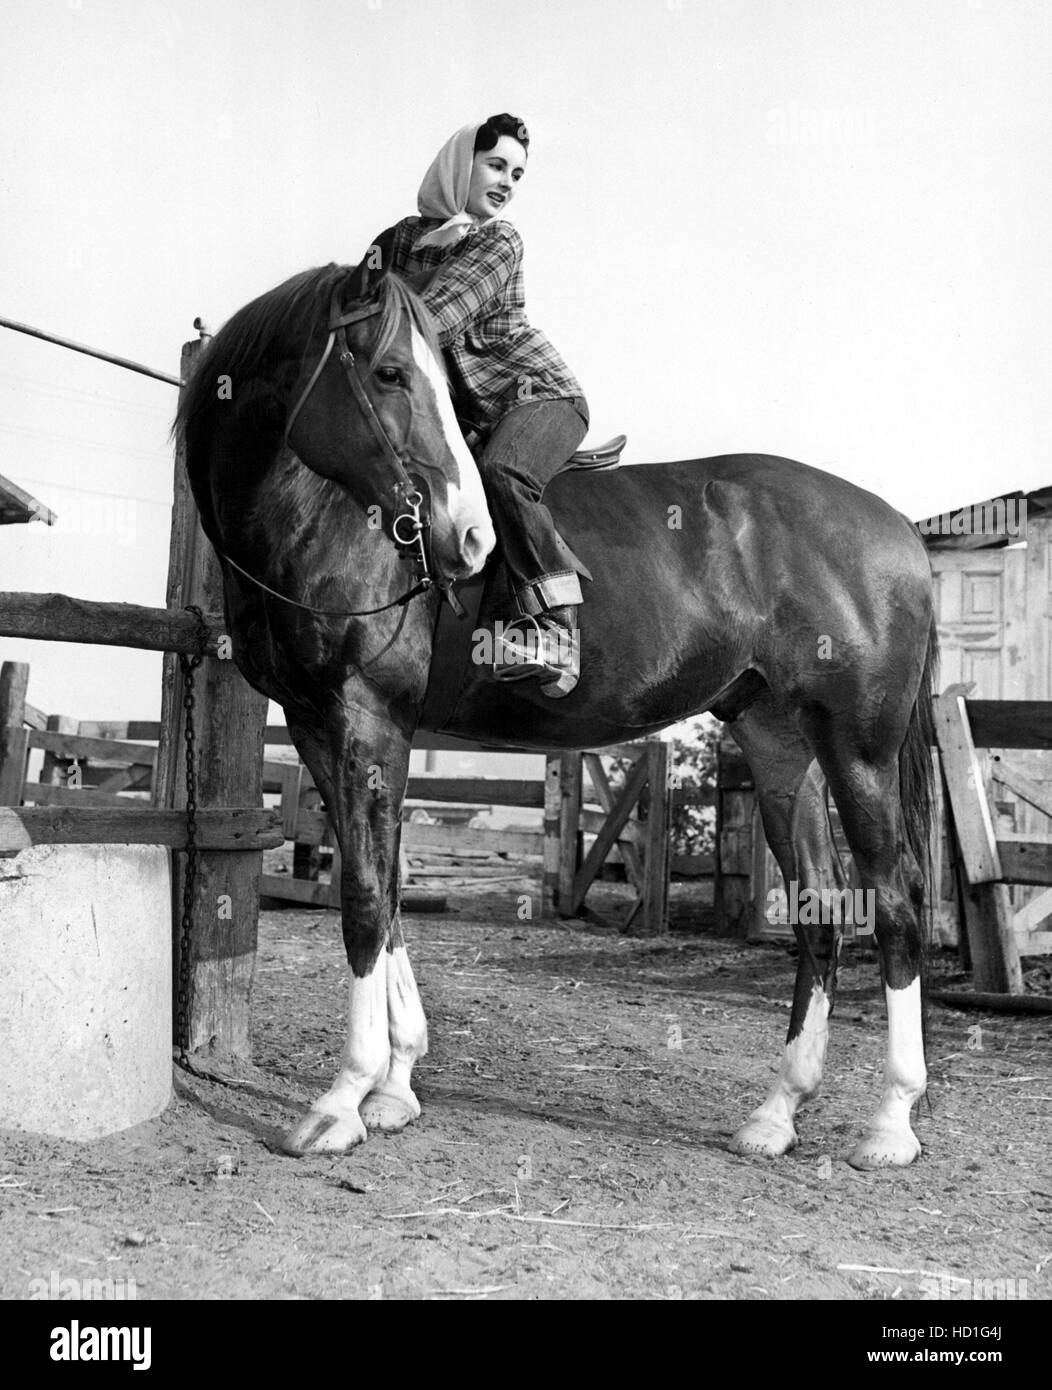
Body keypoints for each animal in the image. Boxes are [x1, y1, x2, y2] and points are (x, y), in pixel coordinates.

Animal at [177, 259, 938, 1171]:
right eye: (391, 373)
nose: (465, 538)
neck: (323, 517)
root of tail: (898, 531)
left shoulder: (366, 720)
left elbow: (362, 896)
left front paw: (342, 1101)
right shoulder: (319, 728)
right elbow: (389, 889)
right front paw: (396, 1087)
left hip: (860, 749)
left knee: (894, 902)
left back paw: (891, 1122)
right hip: (780, 742)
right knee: (820, 907)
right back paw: (777, 1113)